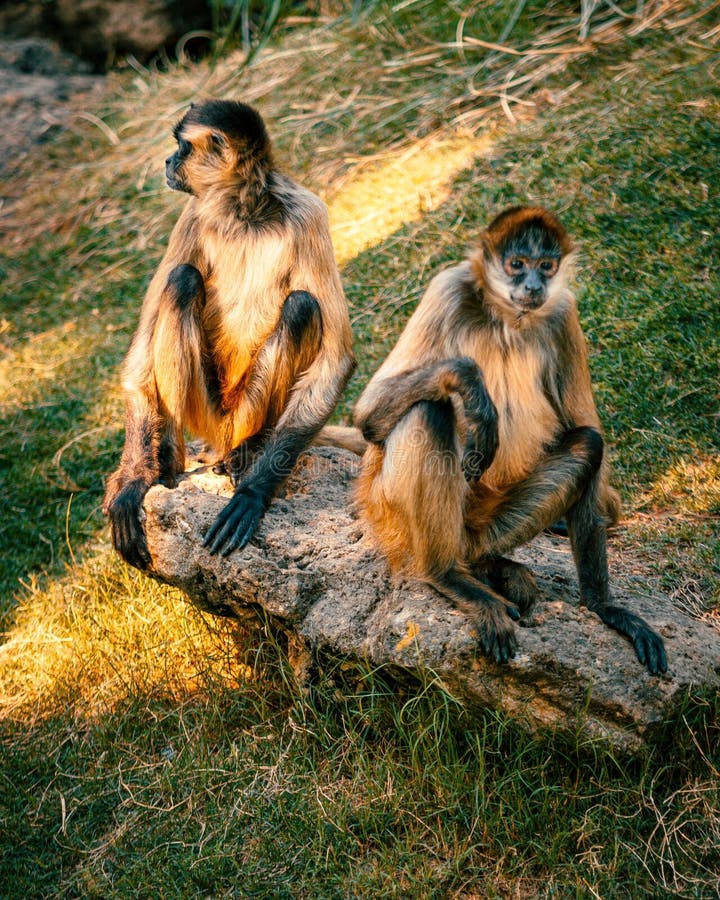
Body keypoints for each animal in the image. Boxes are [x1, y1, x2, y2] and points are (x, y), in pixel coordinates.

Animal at [103, 99, 355, 570]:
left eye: (181, 147)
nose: (168, 162)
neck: (245, 213)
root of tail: (223, 437)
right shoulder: (192, 216)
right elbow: (141, 355)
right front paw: (133, 480)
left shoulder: (308, 212)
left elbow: (337, 359)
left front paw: (254, 493)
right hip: (207, 410)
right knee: (182, 279)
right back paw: (168, 463)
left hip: (243, 411)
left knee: (301, 305)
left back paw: (249, 451)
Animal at [349, 206, 667, 675]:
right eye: (516, 264)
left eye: (546, 266)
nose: (534, 286)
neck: (507, 319)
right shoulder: (448, 287)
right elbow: (368, 414)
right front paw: (472, 388)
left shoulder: (563, 313)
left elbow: (591, 433)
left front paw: (603, 607)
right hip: (390, 516)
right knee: (429, 409)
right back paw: (445, 574)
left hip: (483, 527)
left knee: (587, 443)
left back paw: (487, 568)